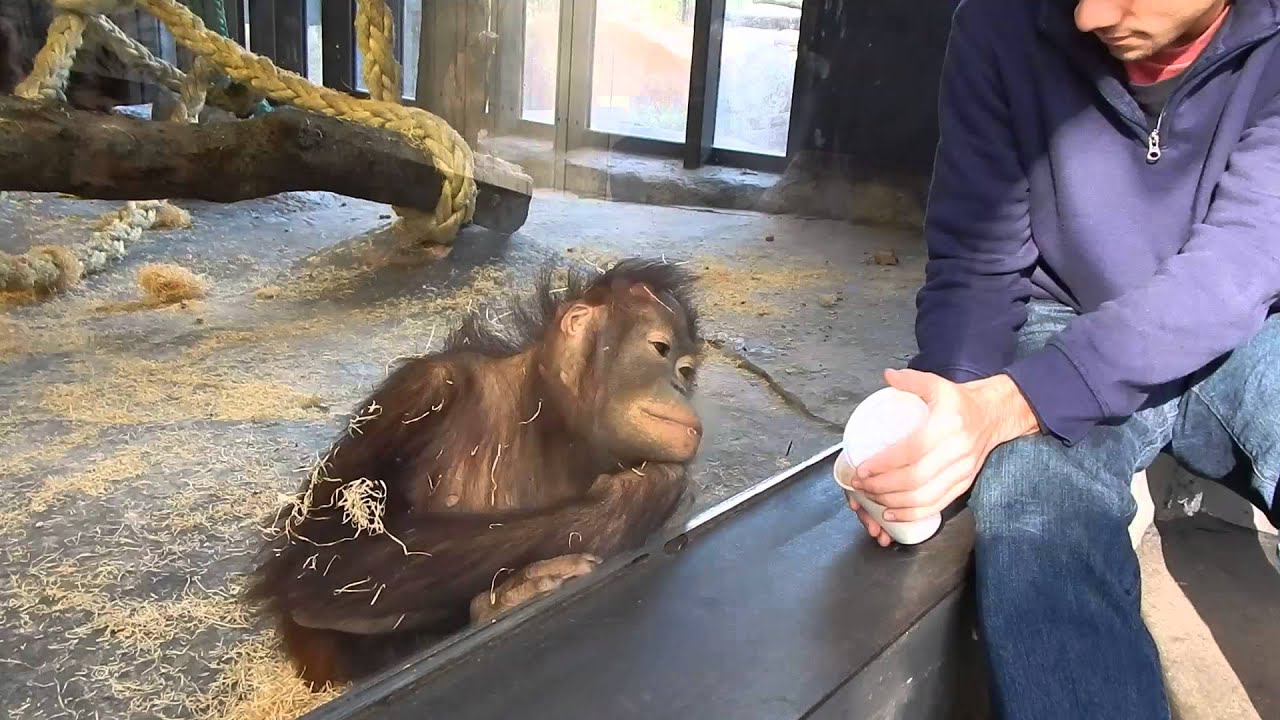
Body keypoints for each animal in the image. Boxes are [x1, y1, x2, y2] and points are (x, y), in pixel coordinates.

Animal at [243, 257, 707, 690]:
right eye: (660, 348)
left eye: (686, 371)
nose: (680, 386)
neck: (545, 415)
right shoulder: (419, 391)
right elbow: (320, 558)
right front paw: (640, 493)